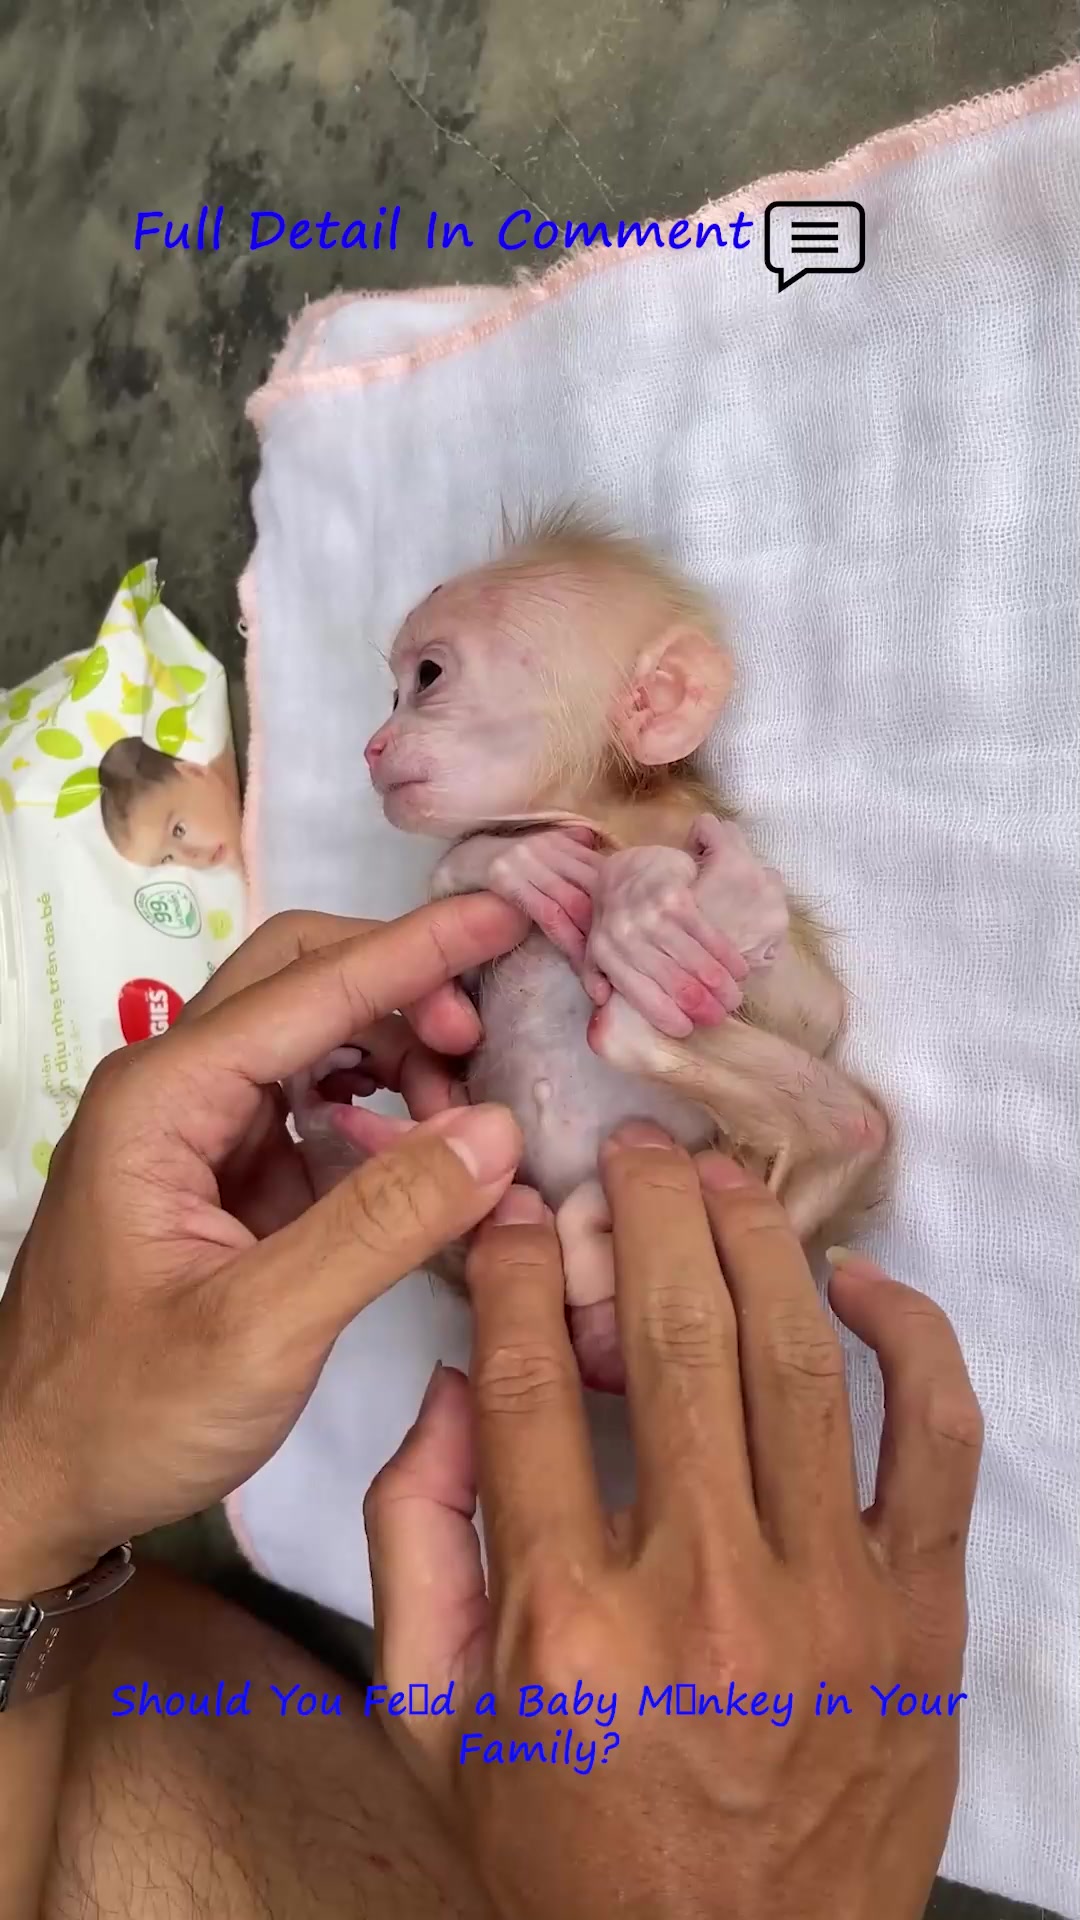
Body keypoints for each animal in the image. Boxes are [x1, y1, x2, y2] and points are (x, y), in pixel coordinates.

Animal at [294, 509, 889, 1391]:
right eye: (393, 692)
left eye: (426, 677)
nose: (373, 744)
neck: (587, 811)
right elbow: (451, 1021)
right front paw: (497, 863)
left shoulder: (675, 827)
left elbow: (817, 1013)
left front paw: (684, 911)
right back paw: (346, 1126)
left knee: (854, 1129)